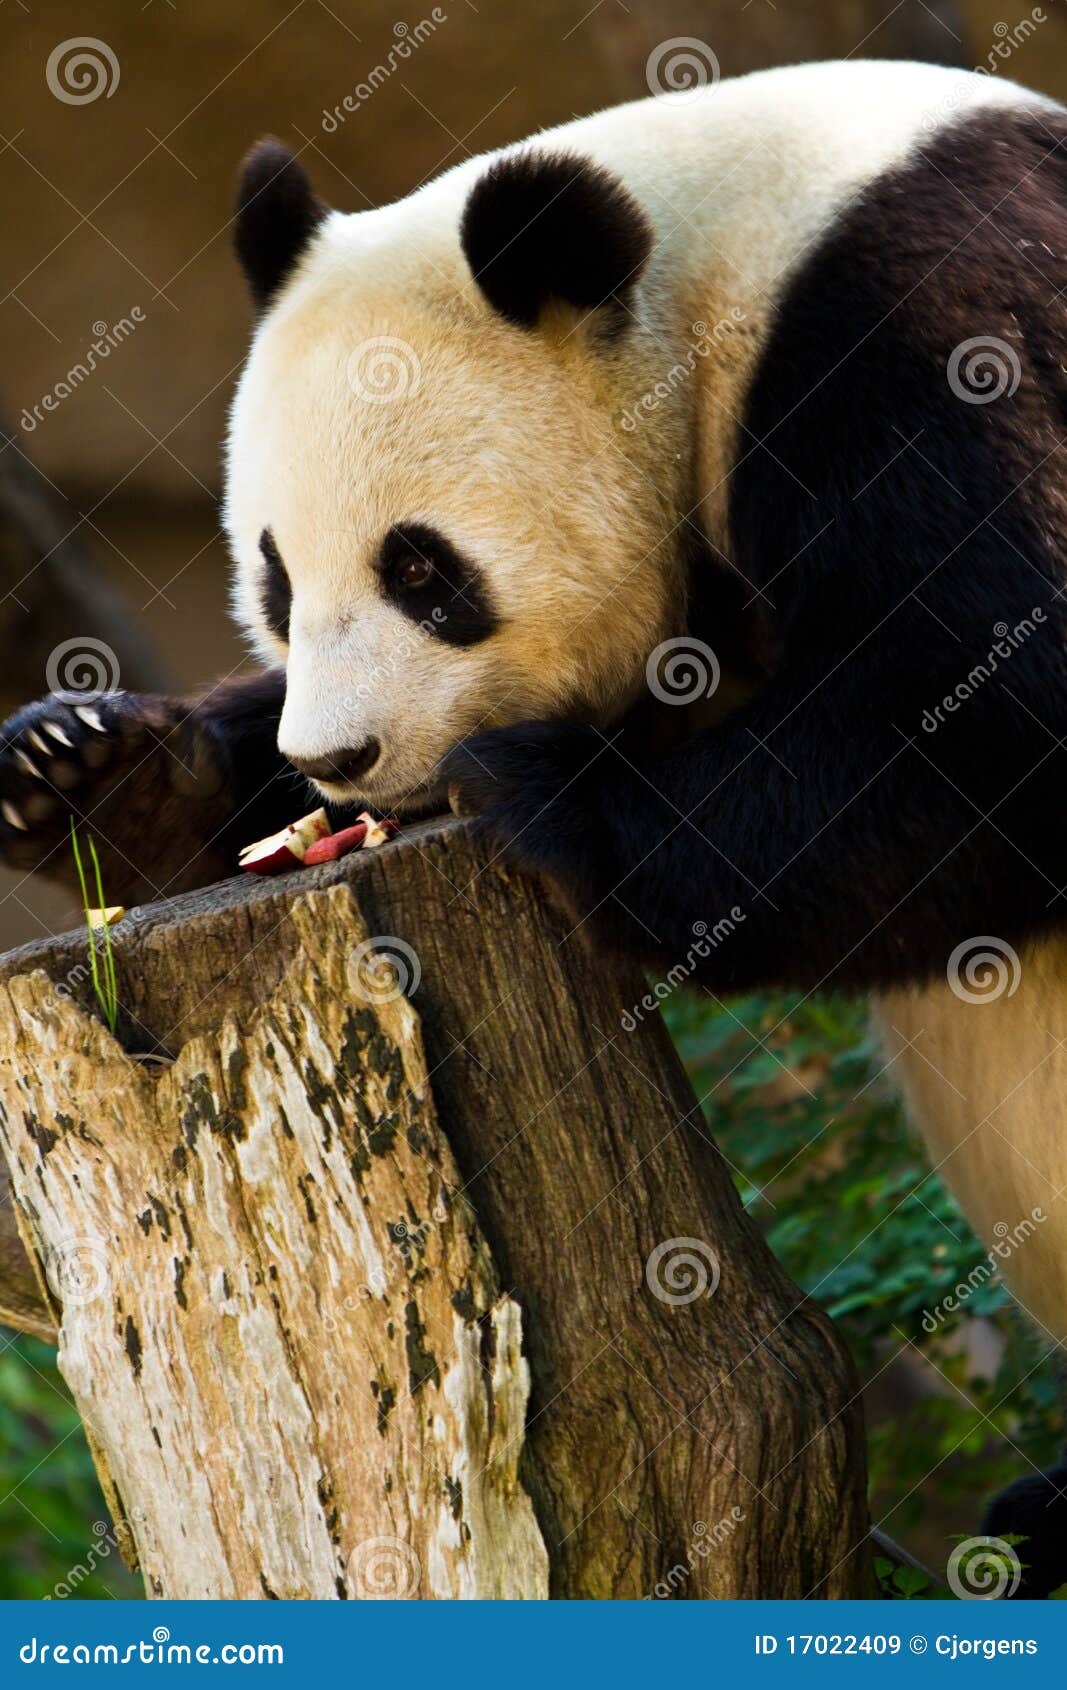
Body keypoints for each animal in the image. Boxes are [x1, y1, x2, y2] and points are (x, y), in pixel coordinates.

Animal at [2, 57, 1067, 1588]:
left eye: (422, 571)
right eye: (273, 580)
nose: (338, 758)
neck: (708, 278)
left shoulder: (942, 326)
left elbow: (993, 703)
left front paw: (550, 803)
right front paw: (89, 766)